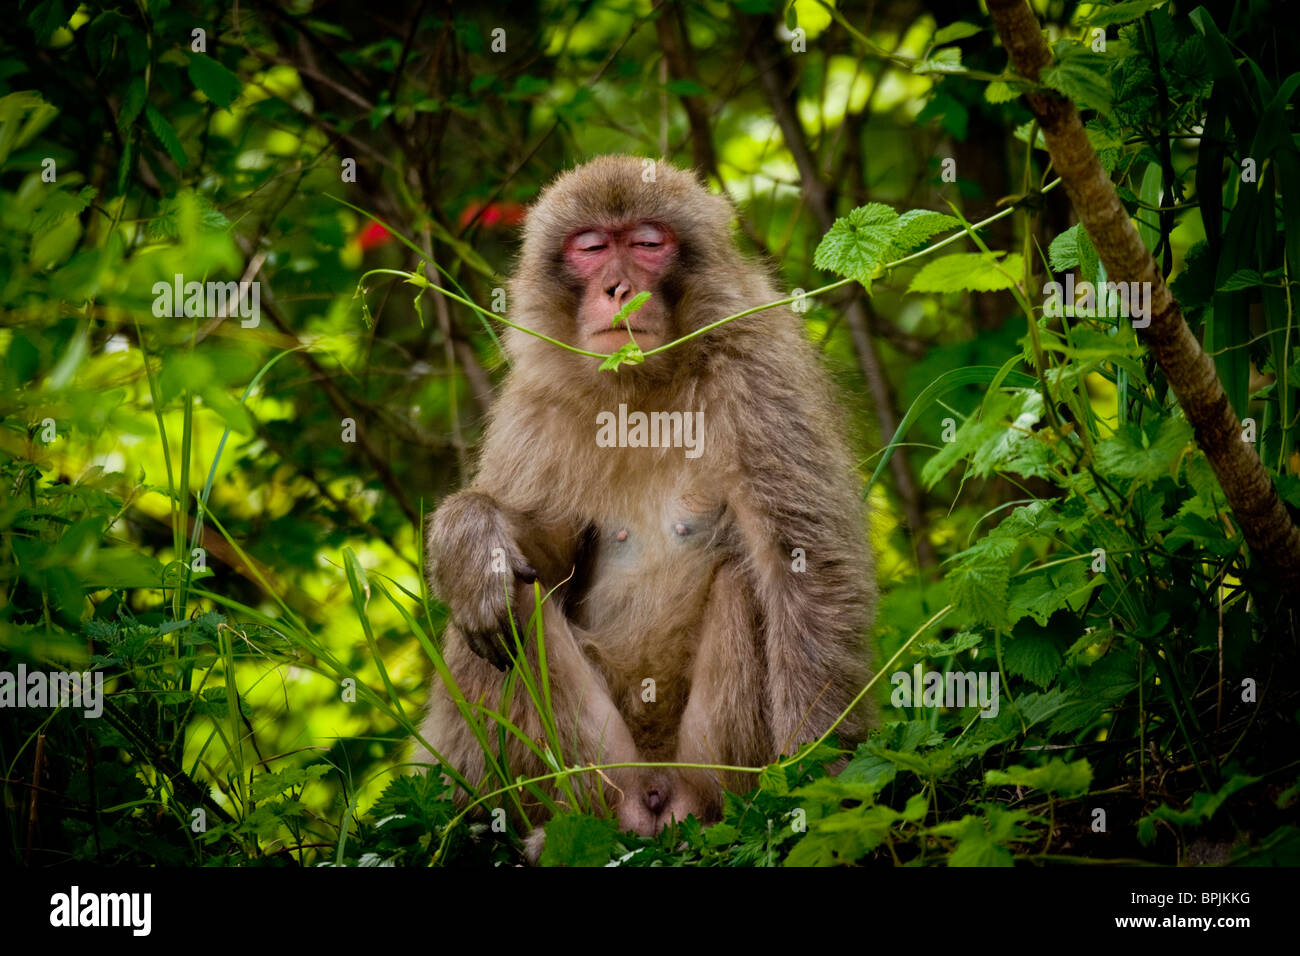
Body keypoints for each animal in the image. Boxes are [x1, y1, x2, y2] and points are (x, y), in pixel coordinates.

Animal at [412, 155, 875, 843]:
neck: (642, 391)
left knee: (746, 577)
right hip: (595, 771)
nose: (619, 288)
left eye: (648, 244)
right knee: (495, 615)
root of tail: (654, 800)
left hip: (713, 769)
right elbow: (545, 559)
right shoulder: (538, 408)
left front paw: (821, 778)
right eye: (592, 248)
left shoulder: (758, 372)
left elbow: (806, 564)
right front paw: (468, 538)